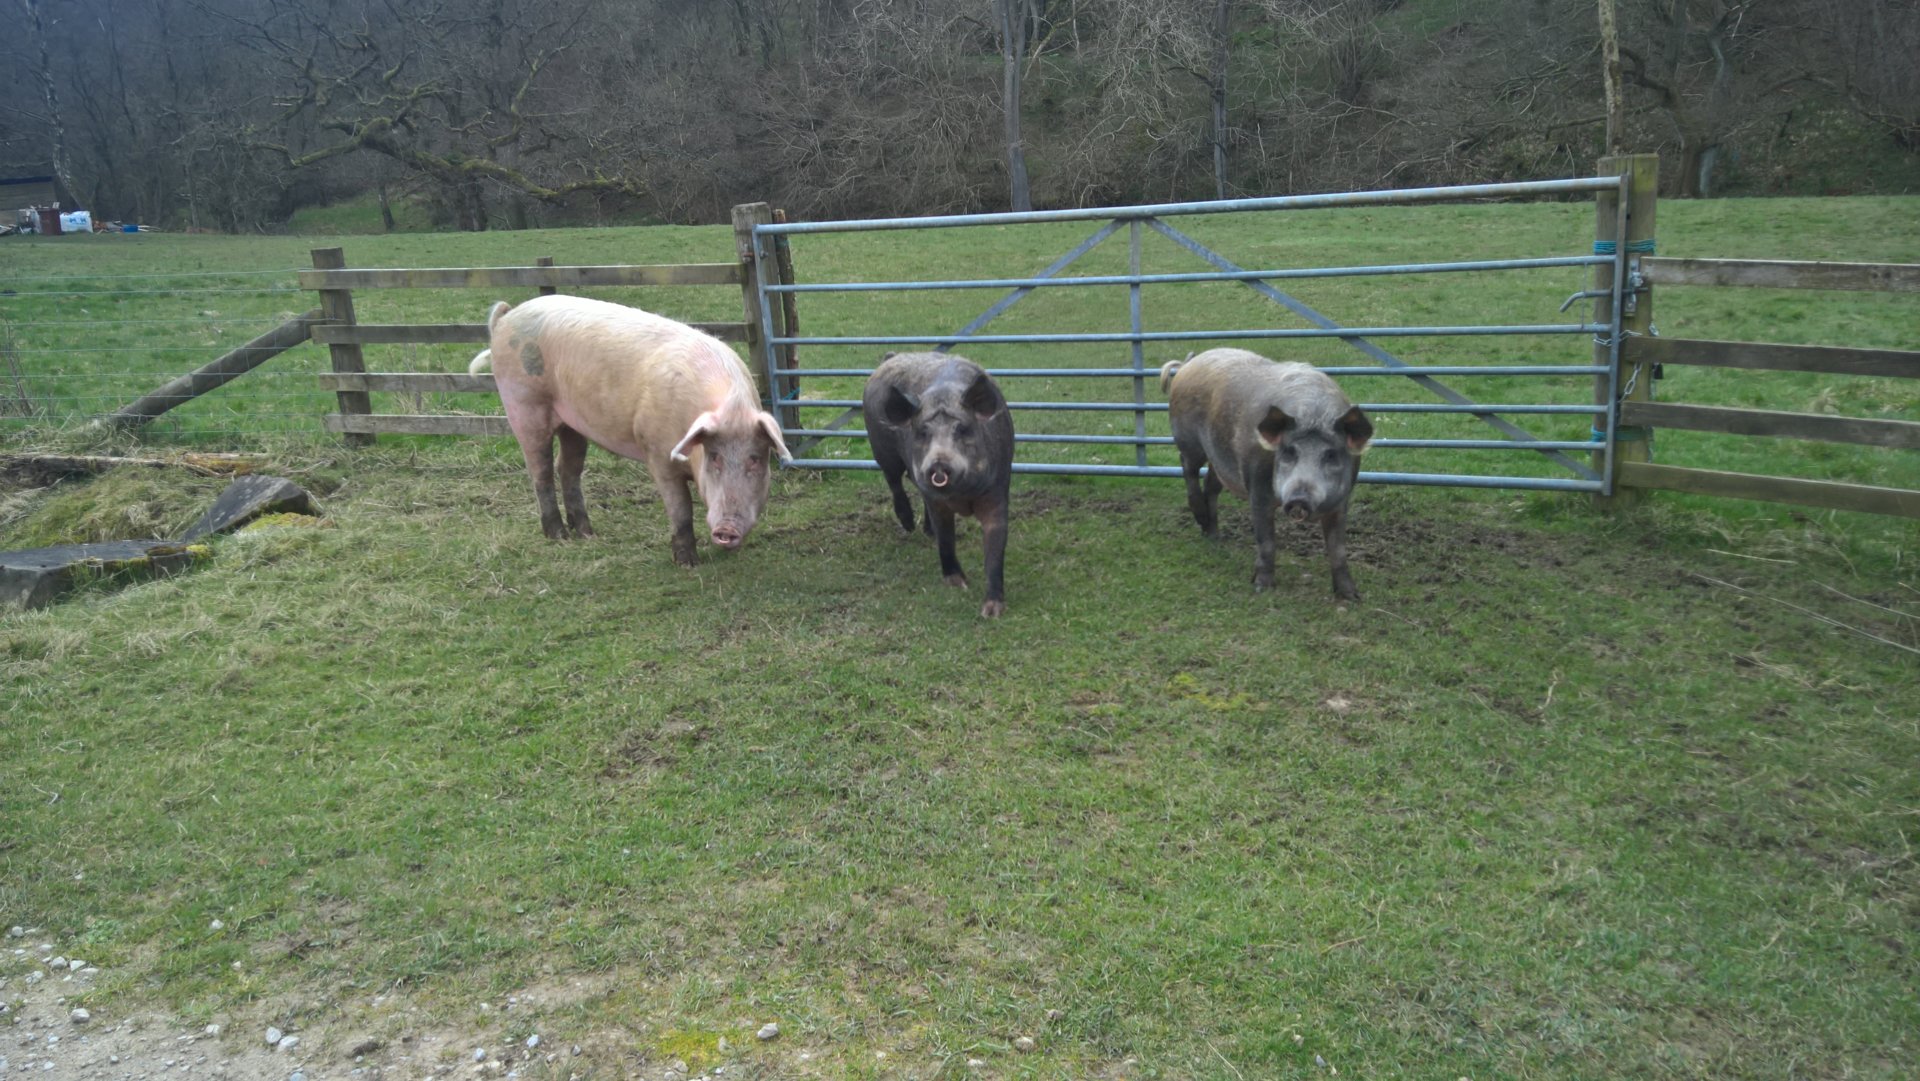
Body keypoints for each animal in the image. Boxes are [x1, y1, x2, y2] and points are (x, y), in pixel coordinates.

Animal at [469, 295, 791, 564]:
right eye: (714, 457)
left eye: (756, 459)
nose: (727, 529)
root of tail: (507, 317)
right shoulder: (658, 455)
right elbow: (681, 510)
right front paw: (688, 563)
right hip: (523, 406)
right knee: (541, 471)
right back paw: (558, 535)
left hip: (573, 424)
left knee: (568, 469)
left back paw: (586, 533)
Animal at [862, 352, 1015, 618]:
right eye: (922, 432)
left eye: (962, 429)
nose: (938, 463)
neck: (962, 496)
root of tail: (892, 356)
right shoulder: (938, 501)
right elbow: (945, 538)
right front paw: (957, 584)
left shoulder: (997, 491)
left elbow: (995, 549)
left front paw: (991, 611)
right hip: (881, 448)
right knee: (894, 481)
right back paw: (909, 525)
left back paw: (926, 530)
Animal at [1160, 348, 1373, 599]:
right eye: (1288, 452)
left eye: (1331, 455)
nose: (1299, 499)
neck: (1314, 417)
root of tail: (1188, 364)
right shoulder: (1258, 487)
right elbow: (1266, 541)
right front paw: (1262, 587)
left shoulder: (1341, 501)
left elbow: (1338, 549)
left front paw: (1352, 596)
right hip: (1188, 441)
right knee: (1188, 469)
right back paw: (1202, 521)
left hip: (1220, 461)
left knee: (1210, 484)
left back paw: (1214, 537)